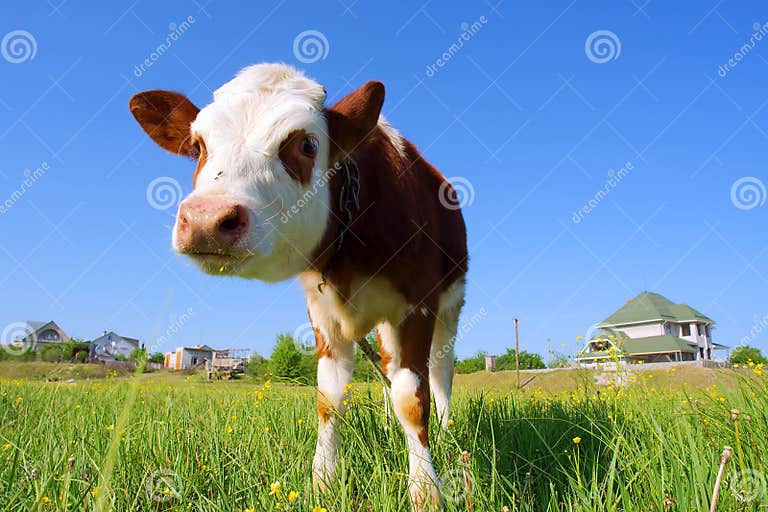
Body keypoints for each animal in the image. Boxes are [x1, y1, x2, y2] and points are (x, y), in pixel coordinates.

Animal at [129, 63, 468, 509]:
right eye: (198, 146)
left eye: (307, 144)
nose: (206, 219)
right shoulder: (322, 312)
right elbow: (330, 397)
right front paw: (322, 481)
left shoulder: (418, 304)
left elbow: (413, 398)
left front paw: (426, 490)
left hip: (450, 305)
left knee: (440, 371)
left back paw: (445, 432)